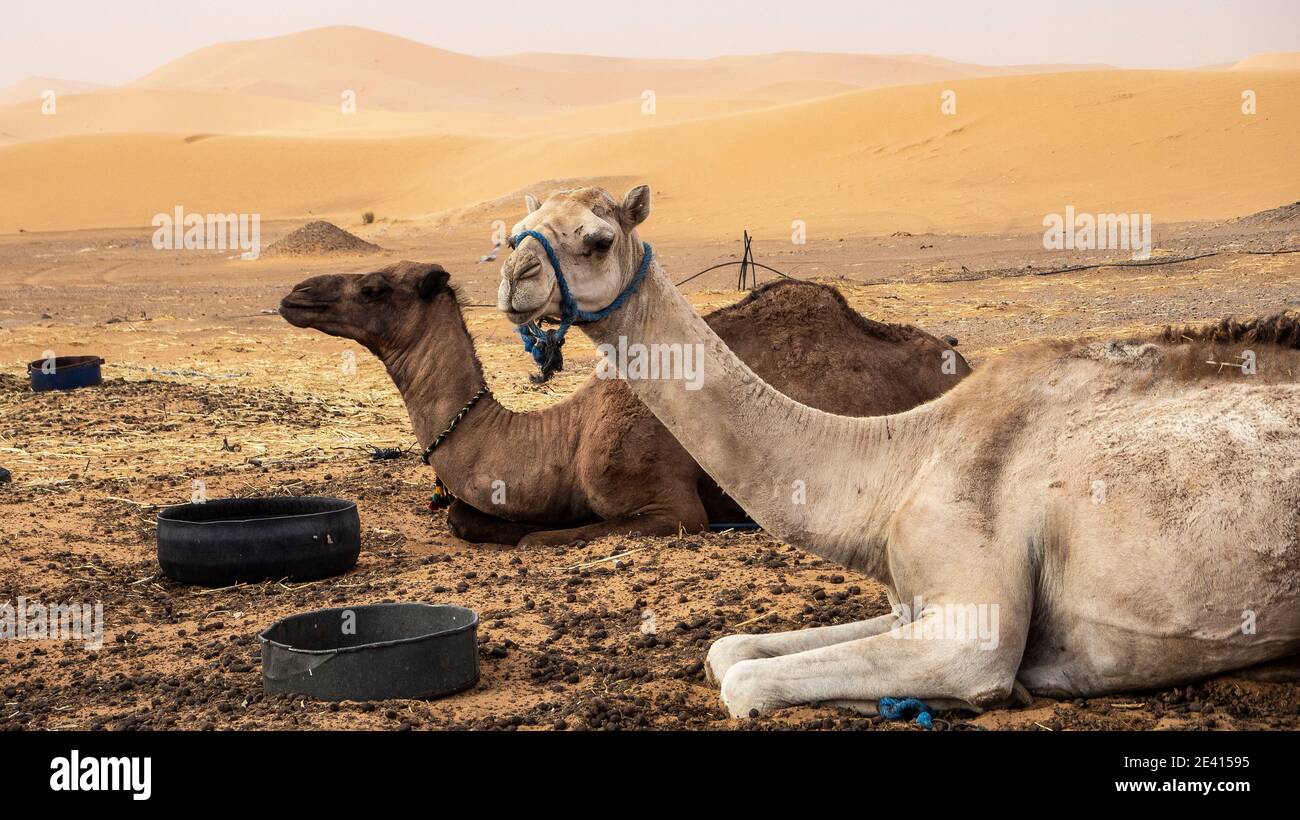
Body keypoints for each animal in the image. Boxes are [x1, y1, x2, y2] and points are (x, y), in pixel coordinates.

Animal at [280, 261, 968, 546]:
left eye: (374, 287)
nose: (295, 294)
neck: (567, 436)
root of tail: (962, 360)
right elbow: (464, 516)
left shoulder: (669, 505)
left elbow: (545, 541)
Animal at [498, 184, 1300, 718]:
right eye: (519, 232)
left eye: (597, 239)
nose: (514, 278)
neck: (901, 460)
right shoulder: (910, 601)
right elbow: (732, 650)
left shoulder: (971, 633)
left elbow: (743, 682)